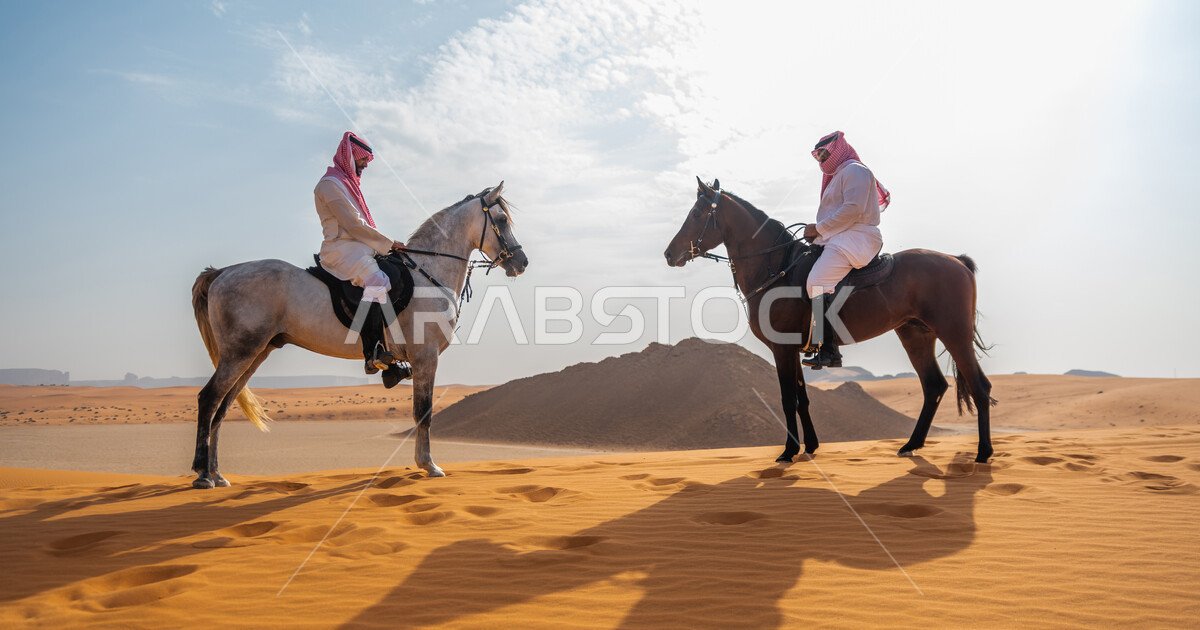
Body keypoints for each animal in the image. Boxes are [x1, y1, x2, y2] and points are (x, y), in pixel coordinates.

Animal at [189, 183, 528, 488]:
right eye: (500, 220)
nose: (521, 262)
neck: (428, 273)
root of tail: (222, 272)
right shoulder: (426, 356)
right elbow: (424, 412)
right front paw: (428, 465)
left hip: (254, 354)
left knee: (223, 405)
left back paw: (217, 474)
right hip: (240, 353)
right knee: (209, 399)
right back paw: (203, 475)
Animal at [664, 178, 995, 464]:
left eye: (696, 213)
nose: (669, 254)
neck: (777, 267)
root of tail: (956, 260)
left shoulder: (781, 349)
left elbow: (788, 399)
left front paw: (788, 452)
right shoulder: (794, 351)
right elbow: (802, 398)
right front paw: (810, 446)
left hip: (955, 334)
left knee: (979, 386)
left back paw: (983, 453)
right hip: (915, 336)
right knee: (934, 386)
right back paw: (911, 445)